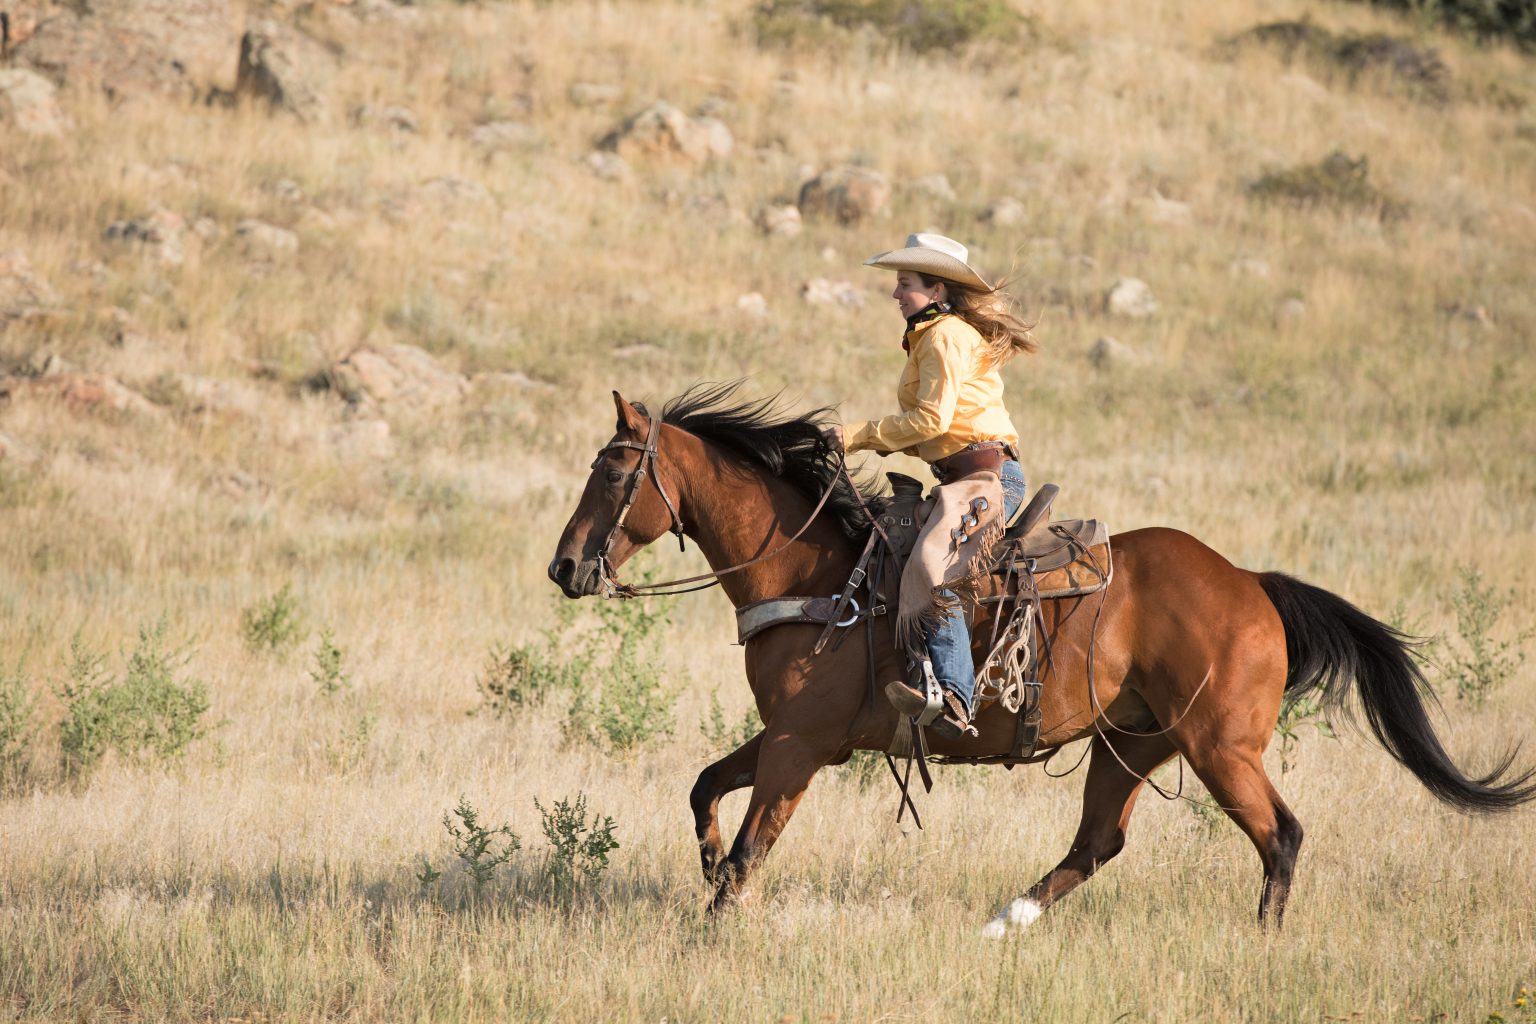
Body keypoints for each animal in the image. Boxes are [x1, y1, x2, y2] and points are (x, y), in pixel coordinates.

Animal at [547, 384, 1536, 932]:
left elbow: (753, 845)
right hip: (1131, 744)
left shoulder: (802, 746)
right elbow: (706, 793)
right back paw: (1002, 921)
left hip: (1220, 748)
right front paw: (709, 875)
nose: (565, 567)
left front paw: (712, 928)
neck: (819, 571)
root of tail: (1251, 582)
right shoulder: (790, 735)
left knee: (1280, 836)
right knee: (1098, 842)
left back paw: (1262, 943)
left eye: (612, 470)